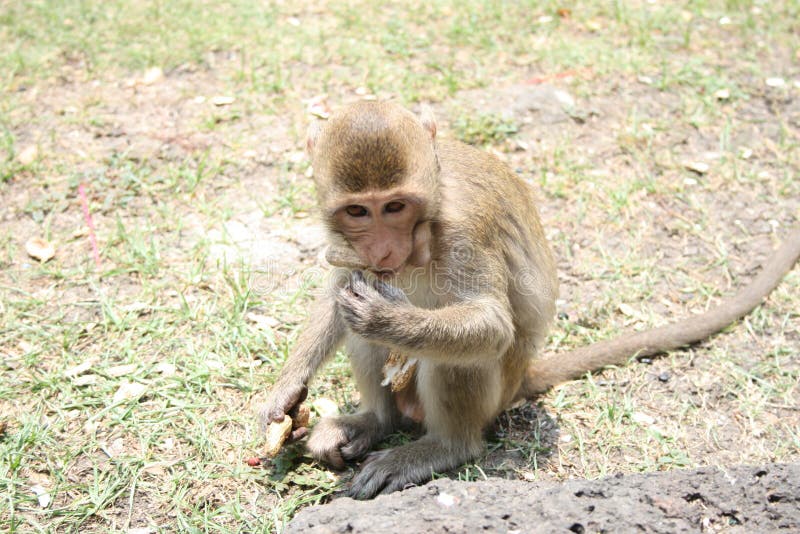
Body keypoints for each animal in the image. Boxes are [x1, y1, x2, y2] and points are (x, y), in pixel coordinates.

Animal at [258, 100, 800, 500]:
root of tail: (523, 378)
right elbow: (337, 293)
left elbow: (491, 325)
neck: (426, 222)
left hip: (496, 390)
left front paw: (384, 317)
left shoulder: (465, 229)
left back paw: (444, 448)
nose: (383, 250)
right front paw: (286, 391)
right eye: (357, 211)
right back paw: (377, 422)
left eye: (394, 206)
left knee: (463, 357)